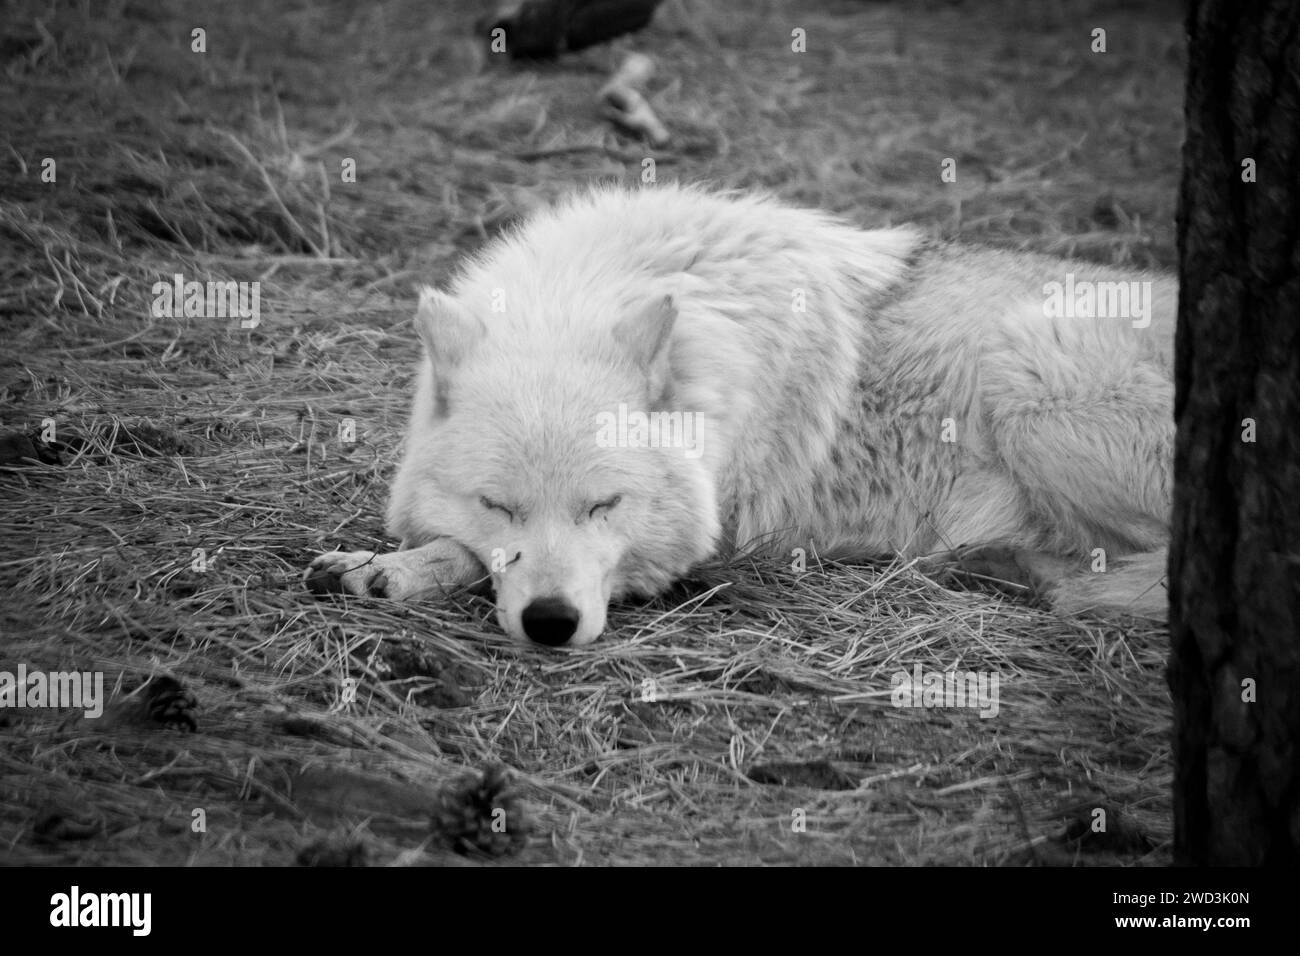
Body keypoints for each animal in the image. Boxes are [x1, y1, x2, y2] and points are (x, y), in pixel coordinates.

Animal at [305, 185, 1174, 646]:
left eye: (605, 505)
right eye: (498, 503)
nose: (552, 622)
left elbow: (462, 552)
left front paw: (402, 566)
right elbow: (460, 545)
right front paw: (381, 566)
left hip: (1027, 371)